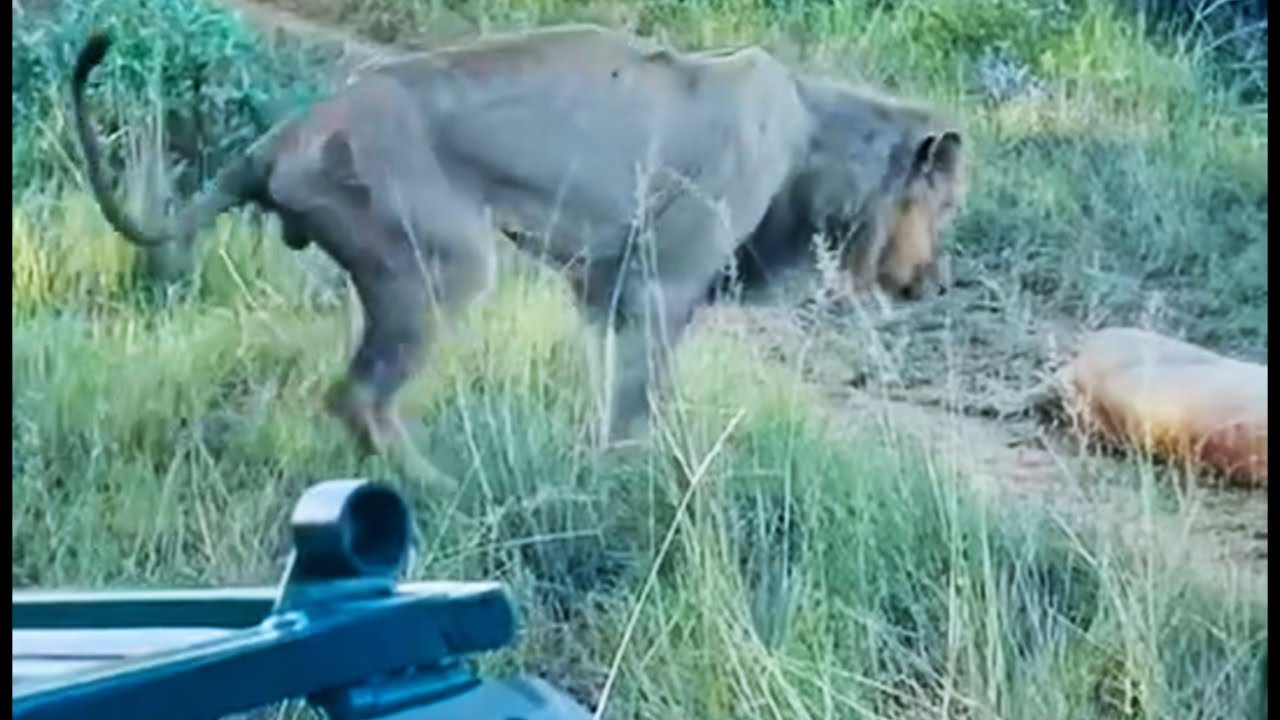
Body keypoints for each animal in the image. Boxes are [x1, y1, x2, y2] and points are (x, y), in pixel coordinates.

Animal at [70, 24, 966, 462]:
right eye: (949, 204)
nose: (931, 283)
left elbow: (614, 392)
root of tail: (284, 134)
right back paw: (433, 489)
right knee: (357, 398)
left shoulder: (609, 288)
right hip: (445, 262)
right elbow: (637, 407)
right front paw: (632, 482)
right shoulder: (663, 291)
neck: (817, 137)